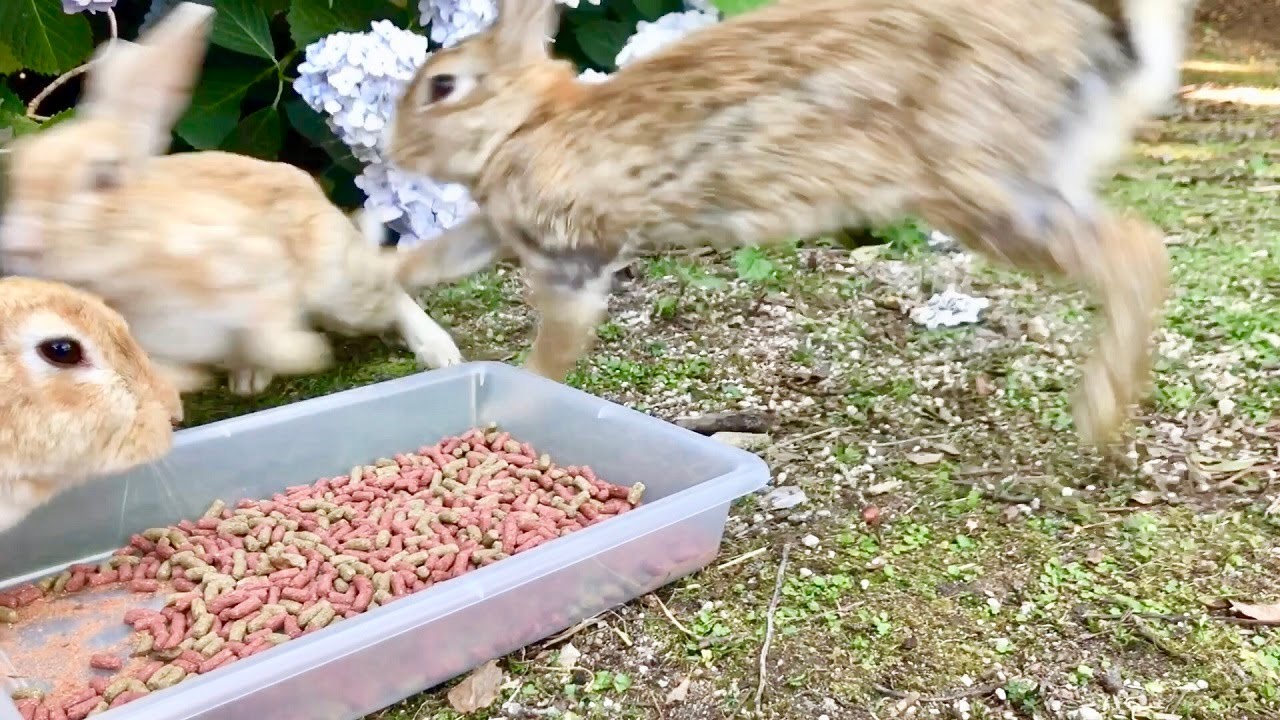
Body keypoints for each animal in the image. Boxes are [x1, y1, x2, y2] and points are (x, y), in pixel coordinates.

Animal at [0, 2, 464, 399]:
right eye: (19, 176)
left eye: (104, 177)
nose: (21, 242)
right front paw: (196, 379)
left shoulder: (256, 274)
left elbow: (270, 330)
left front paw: (306, 353)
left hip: (337, 286)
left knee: (388, 291)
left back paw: (439, 352)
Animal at [383, 0, 1194, 448]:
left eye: (442, 87)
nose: (393, 150)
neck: (525, 127)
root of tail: (1101, 53)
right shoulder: (498, 231)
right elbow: (415, 267)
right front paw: (426, 336)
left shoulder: (569, 262)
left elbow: (548, 363)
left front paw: (511, 414)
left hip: (985, 192)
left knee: (1139, 250)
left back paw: (1099, 416)